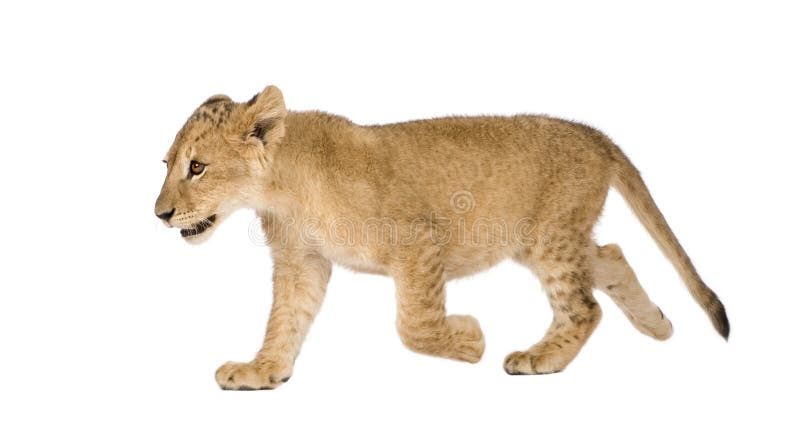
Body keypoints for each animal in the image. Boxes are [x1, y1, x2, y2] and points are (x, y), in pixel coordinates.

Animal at [155, 85, 728, 390]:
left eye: (197, 167)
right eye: (167, 165)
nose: (160, 214)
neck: (284, 188)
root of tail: (593, 132)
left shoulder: (416, 240)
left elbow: (414, 324)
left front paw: (469, 338)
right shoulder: (303, 261)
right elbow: (285, 319)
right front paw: (264, 369)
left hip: (550, 239)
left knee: (585, 306)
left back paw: (540, 358)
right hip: (548, 236)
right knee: (612, 256)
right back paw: (657, 324)